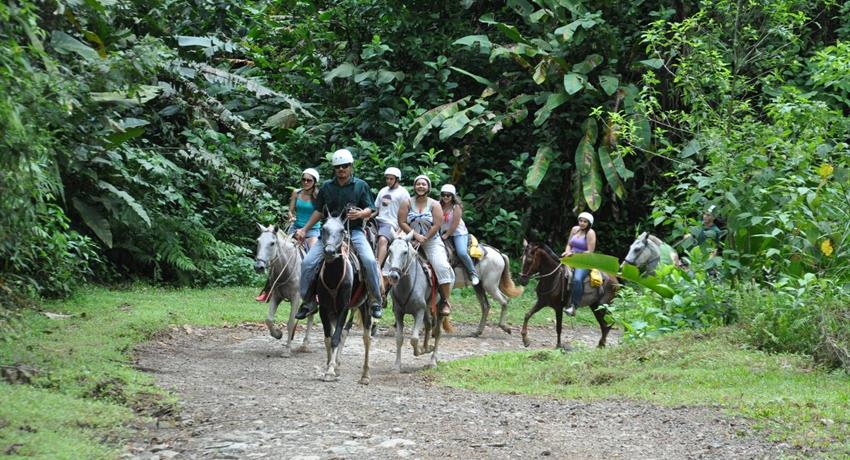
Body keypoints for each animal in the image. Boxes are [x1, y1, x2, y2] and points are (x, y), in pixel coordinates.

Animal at [256, 225, 316, 358]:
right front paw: (278, 334)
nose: (258, 267)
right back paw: (304, 345)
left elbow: (290, 323)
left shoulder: (295, 298)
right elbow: (269, 319)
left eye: (272, 243)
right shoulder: (276, 296)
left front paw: (287, 350)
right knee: (311, 314)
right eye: (258, 241)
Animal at [314, 213, 372, 384]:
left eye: (341, 230)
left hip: (365, 306)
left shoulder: (343, 308)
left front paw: (330, 371)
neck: (333, 276)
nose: (330, 251)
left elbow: (335, 338)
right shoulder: (324, 309)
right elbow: (329, 338)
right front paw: (330, 366)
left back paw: (365, 375)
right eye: (323, 229)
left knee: (366, 338)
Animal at [380, 232, 440, 368]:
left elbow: (414, 339)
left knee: (438, 332)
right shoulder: (398, 313)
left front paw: (418, 351)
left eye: (405, 252)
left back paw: (433, 360)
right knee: (428, 325)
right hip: (427, 308)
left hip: (438, 308)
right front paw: (397, 365)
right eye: (390, 250)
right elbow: (399, 338)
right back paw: (426, 348)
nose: (393, 276)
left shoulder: (419, 312)